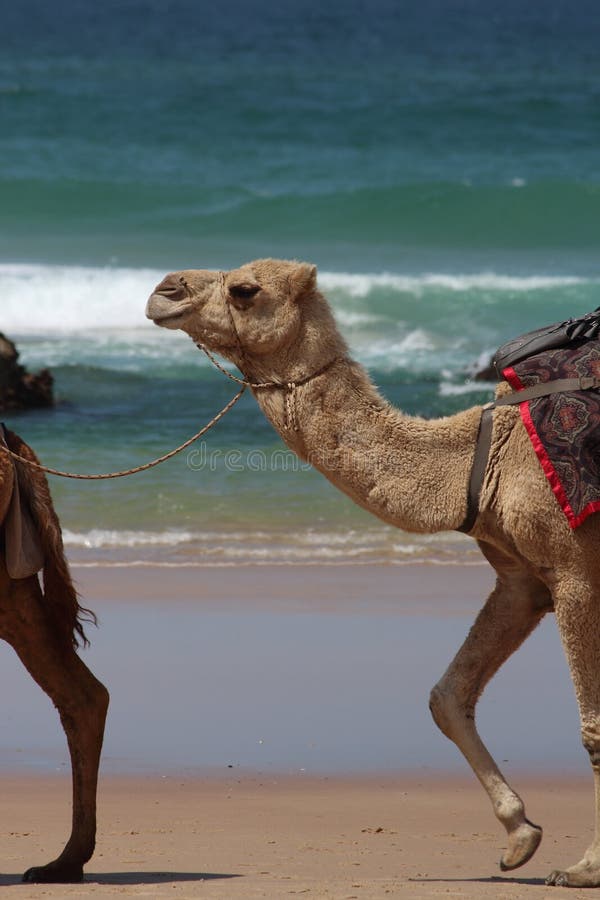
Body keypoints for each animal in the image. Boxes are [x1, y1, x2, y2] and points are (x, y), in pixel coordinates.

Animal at [147, 258, 600, 888]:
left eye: (244, 289)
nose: (163, 291)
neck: (488, 455)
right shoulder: (523, 581)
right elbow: (447, 696)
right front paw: (520, 837)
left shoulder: (577, 568)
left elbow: (593, 723)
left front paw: (585, 867)